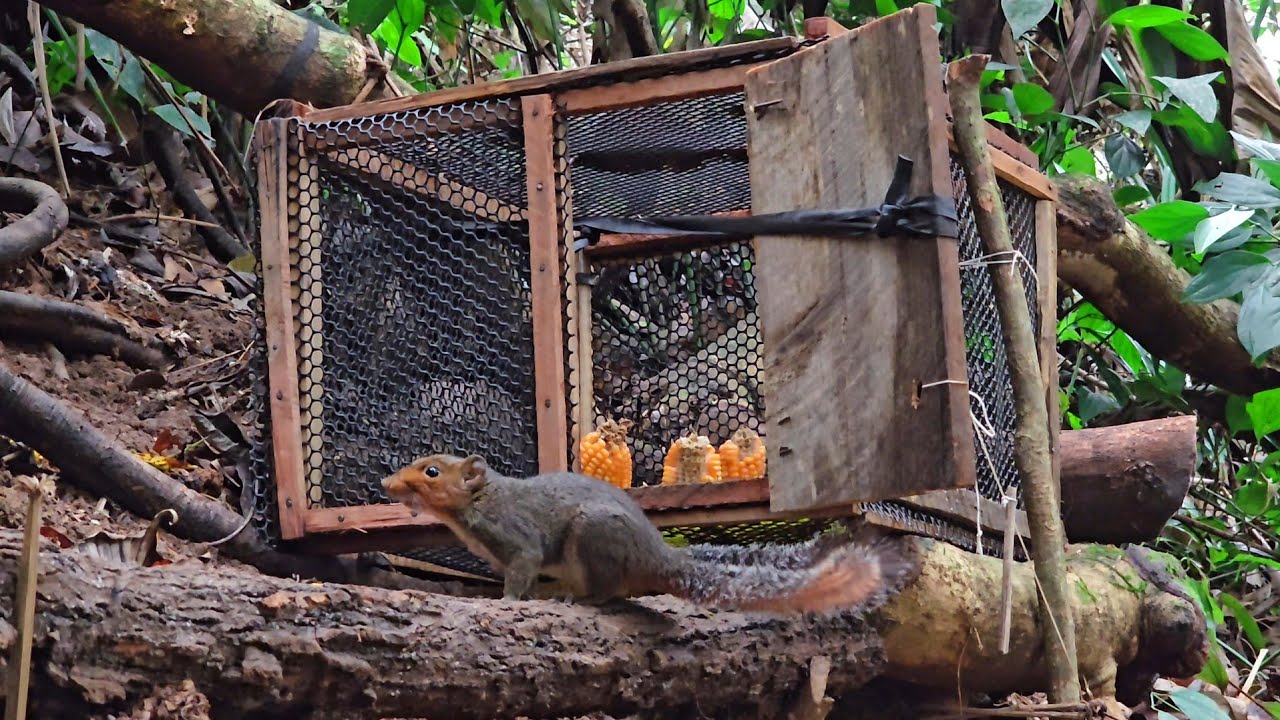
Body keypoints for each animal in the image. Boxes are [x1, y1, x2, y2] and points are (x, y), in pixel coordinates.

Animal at [381, 453, 915, 613]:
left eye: (431, 472)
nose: (388, 484)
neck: (480, 501)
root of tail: (658, 558)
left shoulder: (518, 538)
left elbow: (522, 571)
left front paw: (509, 603)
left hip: (593, 540)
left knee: (608, 591)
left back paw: (580, 598)